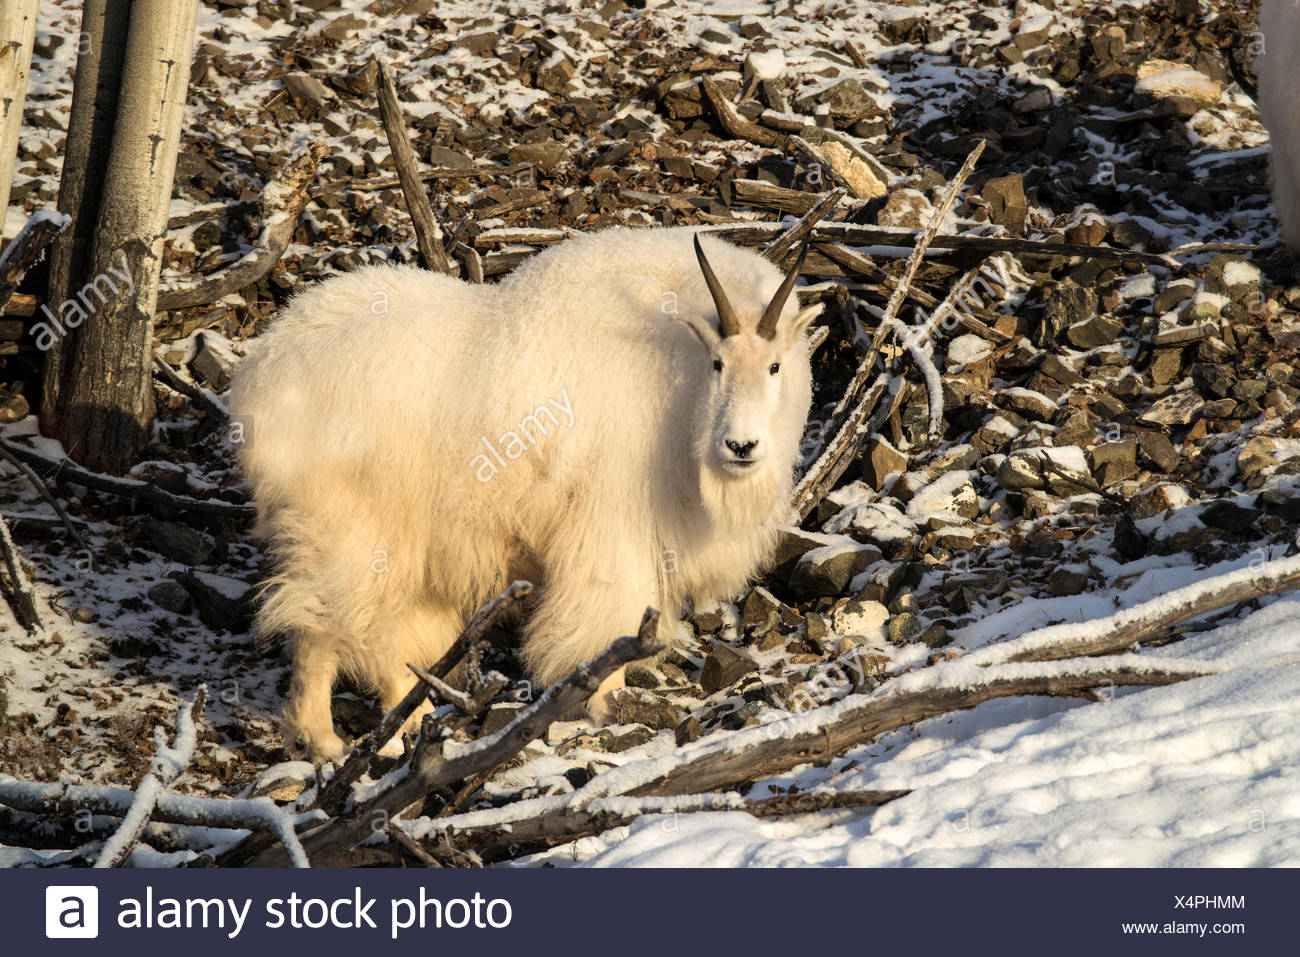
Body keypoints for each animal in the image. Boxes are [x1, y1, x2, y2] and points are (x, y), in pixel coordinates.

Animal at [229, 227, 820, 760]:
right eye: (717, 363)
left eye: (775, 365)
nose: (741, 446)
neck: (676, 377)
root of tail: (258, 379)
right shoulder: (609, 522)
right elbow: (607, 613)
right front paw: (605, 701)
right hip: (348, 531)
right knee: (322, 625)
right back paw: (325, 739)